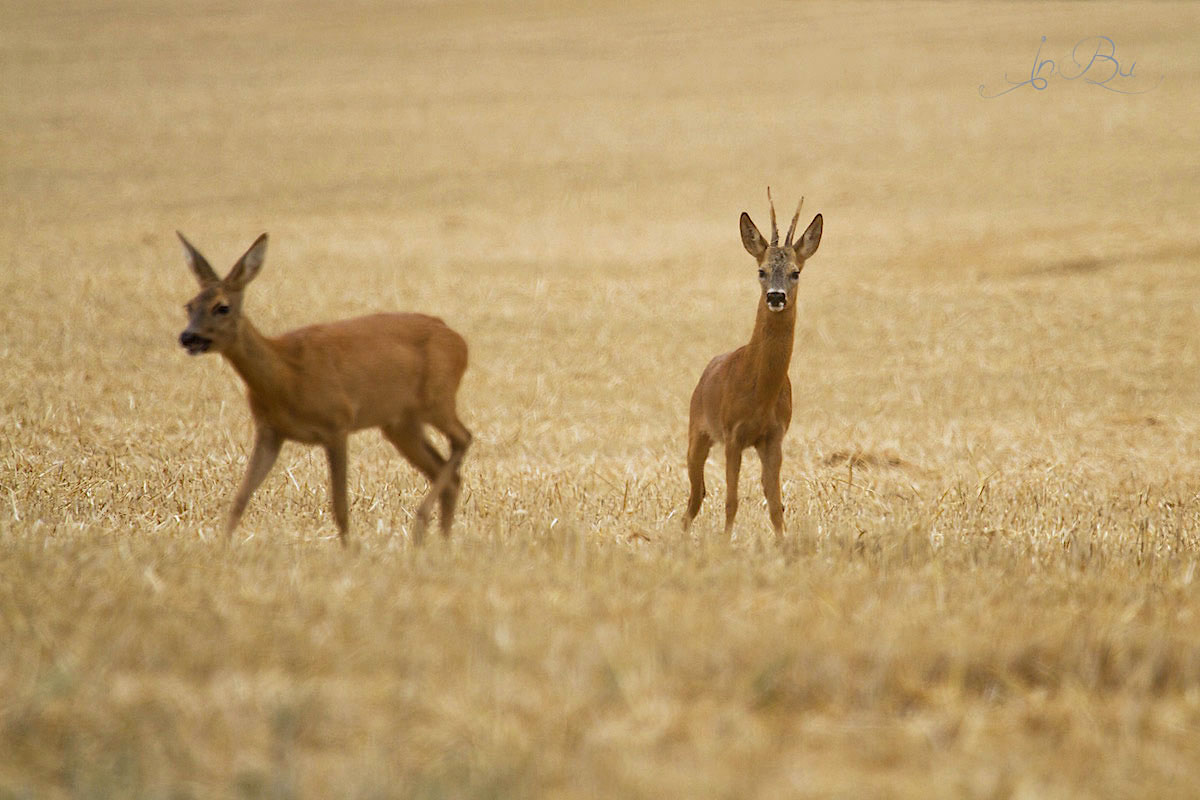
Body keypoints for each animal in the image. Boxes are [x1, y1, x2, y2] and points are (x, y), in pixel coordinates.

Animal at [175, 231, 470, 544]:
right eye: (189, 306)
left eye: (222, 306)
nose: (188, 337)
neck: (286, 375)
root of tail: (458, 340)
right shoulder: (270, 431)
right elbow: (239, 500)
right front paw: (222, 547)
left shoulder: (338, 422)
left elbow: (339, 506)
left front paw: (350, 549)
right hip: (400, 423)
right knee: (450, 475)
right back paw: (438, 542)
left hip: (437, 399)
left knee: (464, 439)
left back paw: (421, 523)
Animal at [686, 189, 825, 537]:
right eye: (761, 270)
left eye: (795, 272)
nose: (776, 296)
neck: (758, 391)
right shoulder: (732, 434)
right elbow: (731, 501)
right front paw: (724, 542)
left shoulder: (774, 437)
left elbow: (775, 505)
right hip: (697, 431)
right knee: (696, 495)